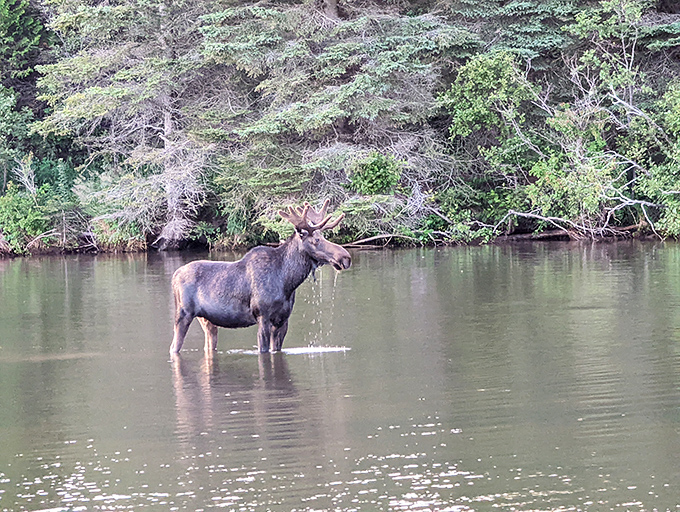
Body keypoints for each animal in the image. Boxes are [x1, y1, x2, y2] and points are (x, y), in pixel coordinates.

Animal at [169, 200, 351, 355]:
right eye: (316, 240)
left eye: (324, 237)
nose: (346, 257)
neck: (287, 281)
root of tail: (174, 276)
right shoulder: (262, 316)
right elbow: (263, 349)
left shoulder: (282, 320)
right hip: (183, 313)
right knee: (173, 346)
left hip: (207, 320)